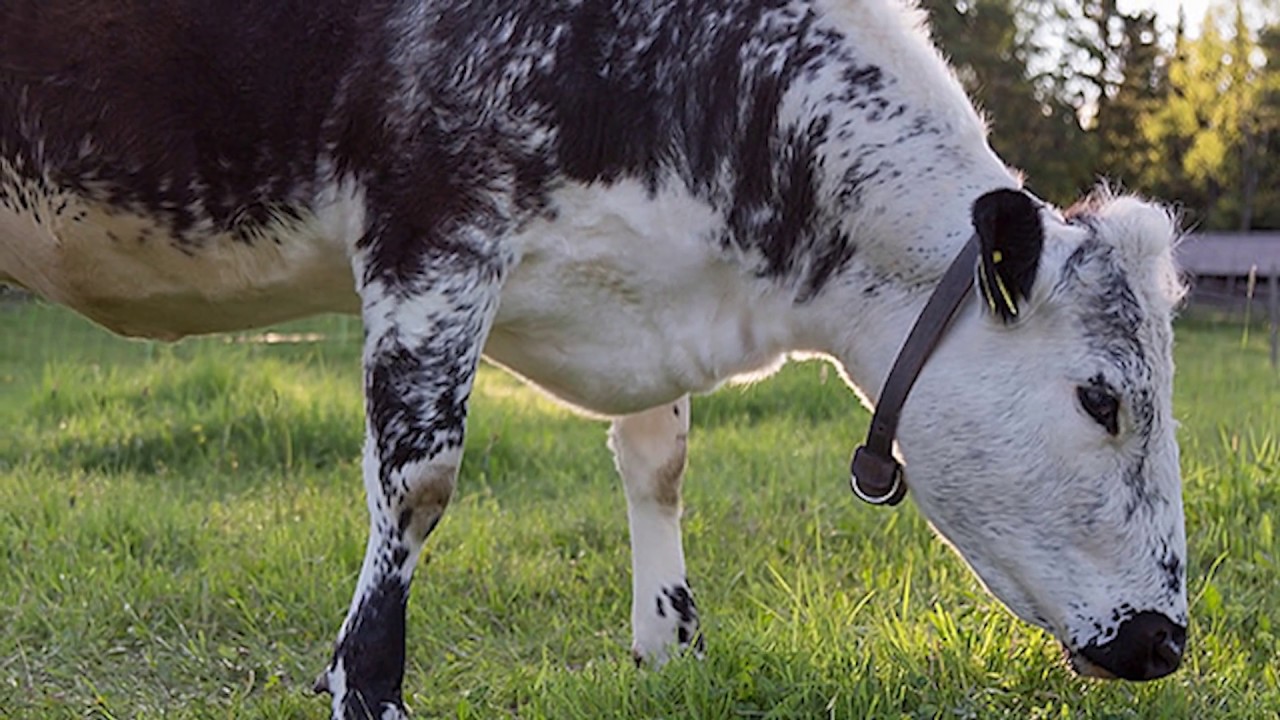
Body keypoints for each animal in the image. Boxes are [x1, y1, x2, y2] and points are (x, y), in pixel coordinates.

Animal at [1, 1, 1189, 718]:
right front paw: (368, 684)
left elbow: (658, 461)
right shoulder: (432, 236)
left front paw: (670, 646)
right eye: (1101, 399)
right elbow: (420, 482)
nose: (1164, 640)